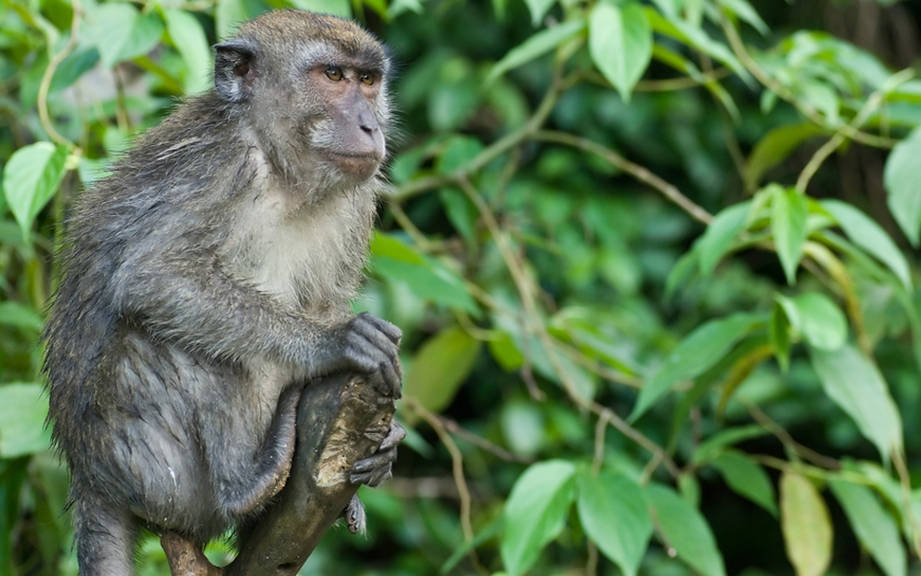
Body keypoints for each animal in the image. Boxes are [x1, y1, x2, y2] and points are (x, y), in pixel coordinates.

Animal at [42, 11, 404, 575]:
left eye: (368, 80)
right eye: (333, 76)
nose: (371, 126)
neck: (280, 169)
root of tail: (88, 477)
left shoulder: (356, 198)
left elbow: (324, 299)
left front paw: (386, 443)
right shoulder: (220, 168)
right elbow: (153, 276)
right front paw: (335, 343)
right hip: (149, 471)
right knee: (171, 339)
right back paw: (247, 484)